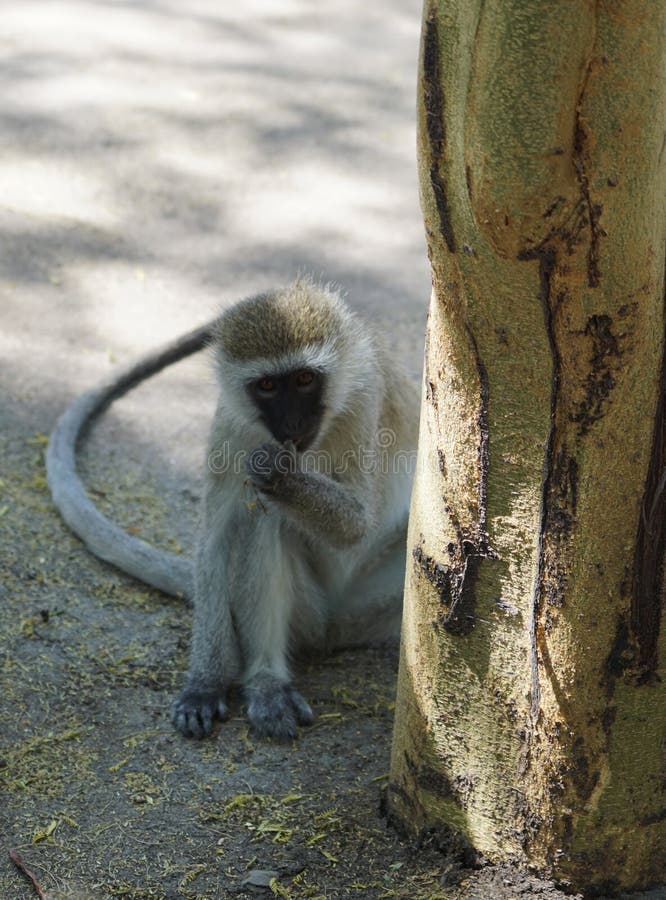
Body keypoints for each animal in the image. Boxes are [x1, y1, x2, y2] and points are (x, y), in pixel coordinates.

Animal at [46, 277, 418, 741]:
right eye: (267, 387)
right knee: (263, 521)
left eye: (304, 378)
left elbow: (359, 523)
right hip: (311, 612)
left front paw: (282, 476)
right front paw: (205, 683)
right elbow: (215, 540)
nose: (292, 425)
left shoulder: (367, 395)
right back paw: (266, 682)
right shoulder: (230, 422)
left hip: (371, 604)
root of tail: (333, 629)